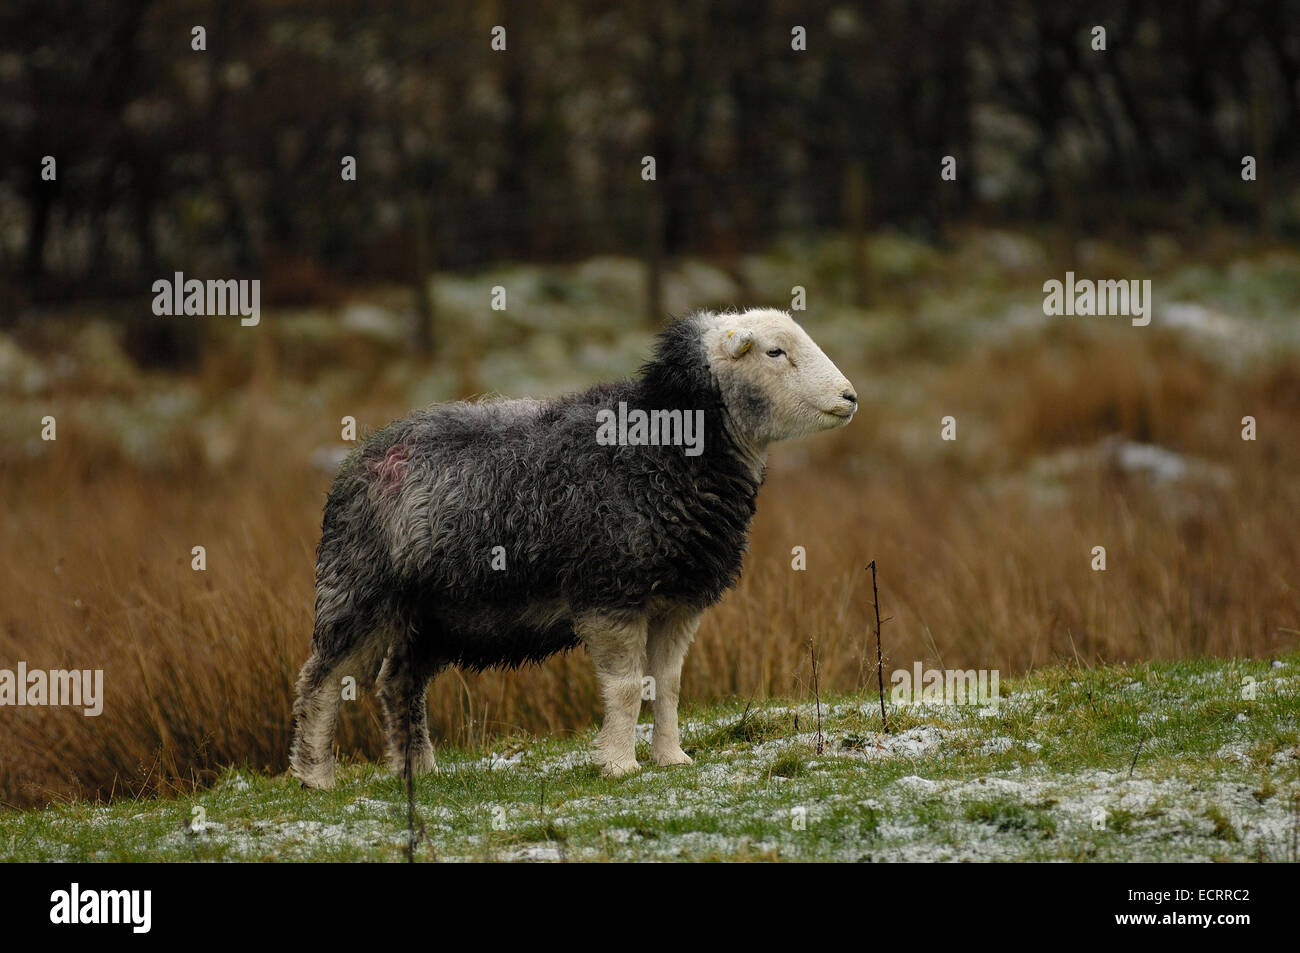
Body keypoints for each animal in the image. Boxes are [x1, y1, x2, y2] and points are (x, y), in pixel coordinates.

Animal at [289, 308, 856, 787]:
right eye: (775, 352)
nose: (850, 397)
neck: (667, 446)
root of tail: (362, 454)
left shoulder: (679, 600)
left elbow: (668, 684)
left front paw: (672, 758)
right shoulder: (610, 593)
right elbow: (626, 686)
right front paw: (620, 764)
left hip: (432, 613)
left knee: (399, 681)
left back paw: (418, 769)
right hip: (358, 587)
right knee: (321, 679)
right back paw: (316, 776)